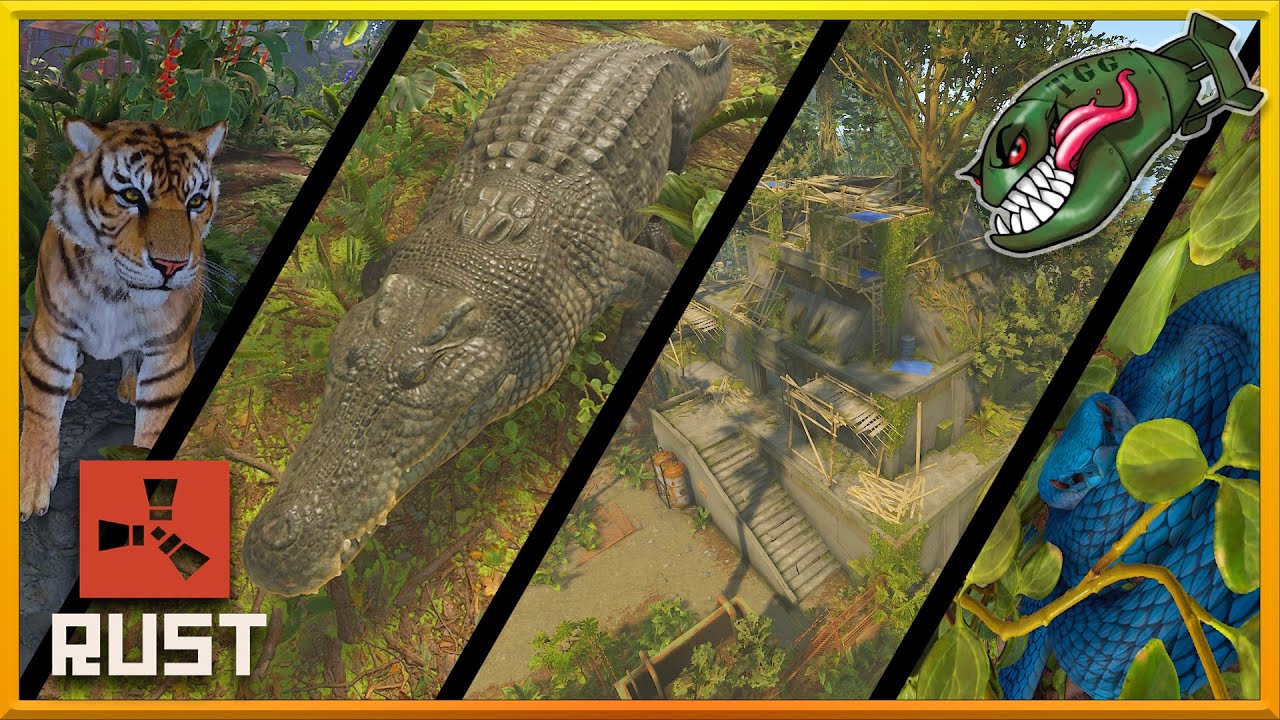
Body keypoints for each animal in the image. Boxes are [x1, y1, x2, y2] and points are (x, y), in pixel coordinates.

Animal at [19, 118, 226, 521]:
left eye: (195, 202)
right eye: (131, 196)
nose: (170, 266)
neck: (115, 290)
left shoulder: (170, 357)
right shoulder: (49, 338)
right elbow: (41, 412)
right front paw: (29, 487)